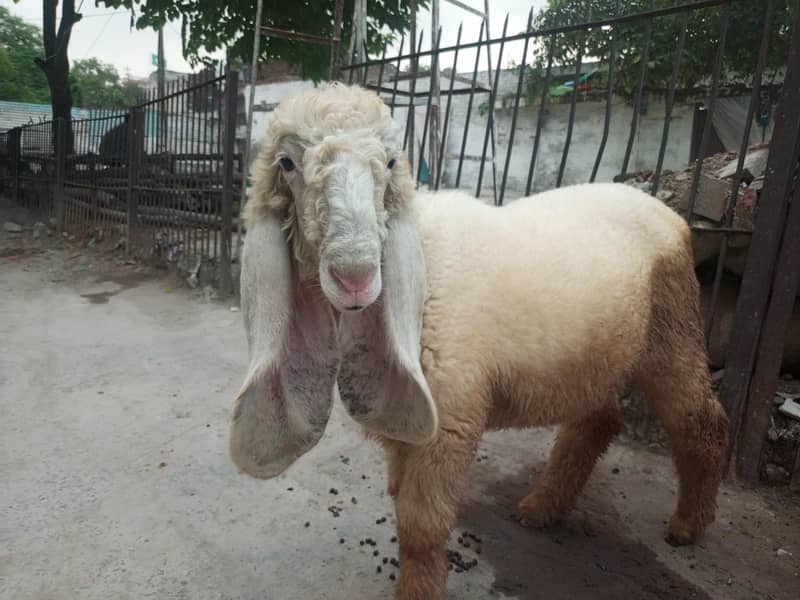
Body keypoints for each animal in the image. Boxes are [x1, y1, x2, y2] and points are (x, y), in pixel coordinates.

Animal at [229, 82, 729, 600]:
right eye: (287, 163)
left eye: (391, 161)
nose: (356, 277)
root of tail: (669, 213)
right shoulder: (409, 414)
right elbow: (399, 494)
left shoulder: (449, 418)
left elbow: (422, 527)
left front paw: (418, 592)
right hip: (598, 351)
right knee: (598, 421)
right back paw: (542, 507)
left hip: (673, 328)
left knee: (700, 422)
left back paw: (687, 525)